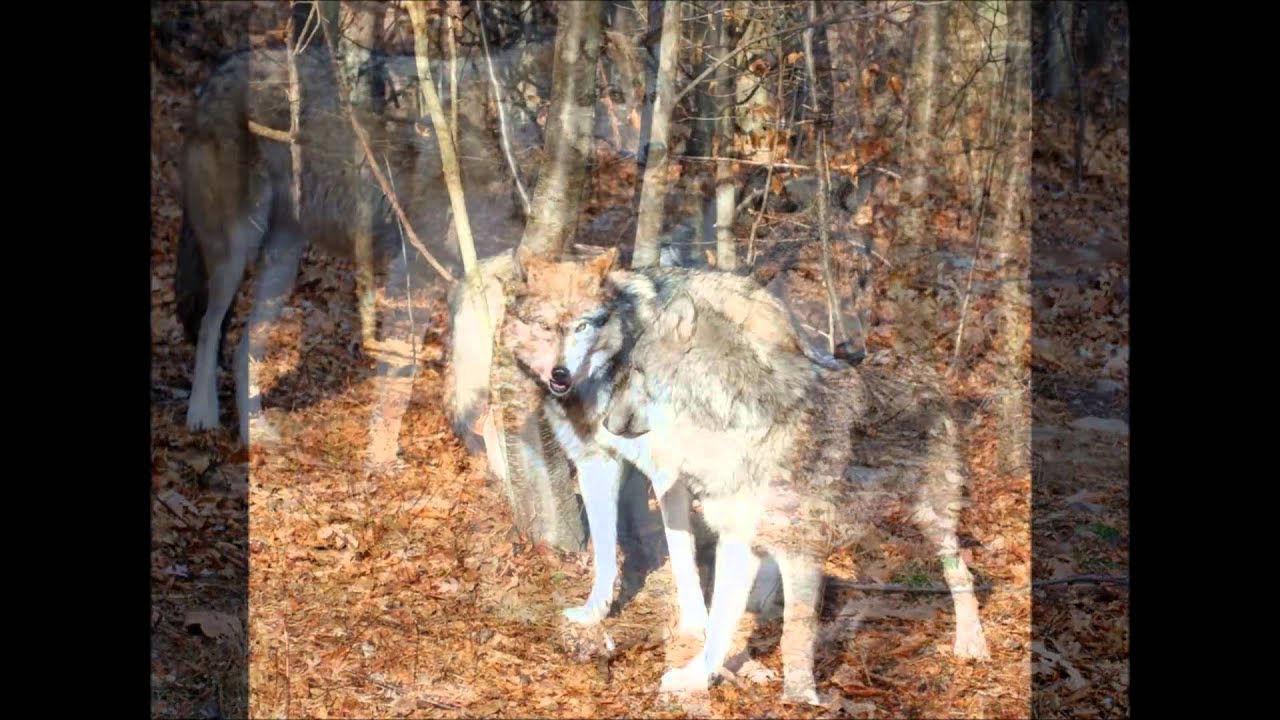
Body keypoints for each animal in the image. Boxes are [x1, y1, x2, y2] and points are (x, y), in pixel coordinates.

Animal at [600, 275, 992, 704]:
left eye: (636, 370)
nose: (604, 422)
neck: (728, 435)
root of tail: (920, 365)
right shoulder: (738, 544)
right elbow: (719, 625)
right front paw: (697, 678)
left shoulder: (801, 552)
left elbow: (794, 635)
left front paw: (801, 698)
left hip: (933, 519)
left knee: (962, 575)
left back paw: (971, 643)